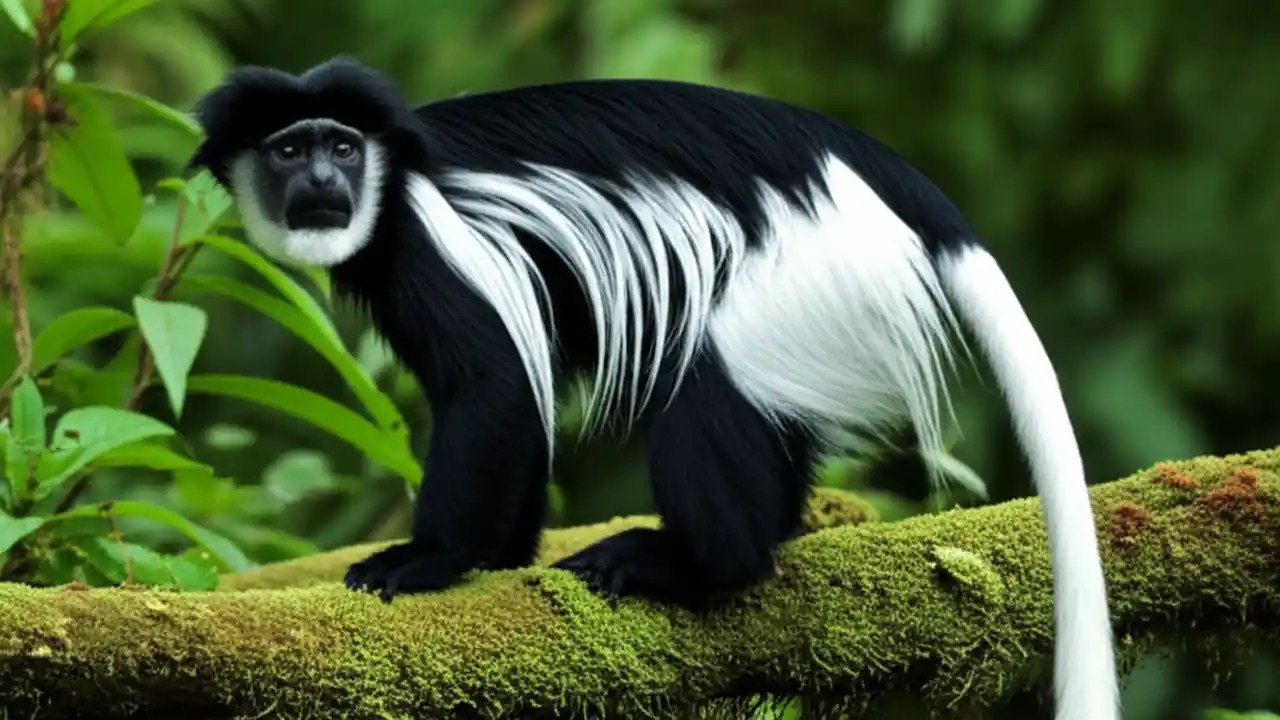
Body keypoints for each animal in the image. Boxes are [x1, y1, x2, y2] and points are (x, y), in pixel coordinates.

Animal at [188, 57, 1118, 720]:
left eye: (342, 147)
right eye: (289, 149)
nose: (323, 185)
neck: (390, 184)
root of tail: (876, 172)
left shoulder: (428, 237)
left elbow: (494, 386)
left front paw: (429, 562)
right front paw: (499, 561)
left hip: (798, 276)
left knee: (710, 391)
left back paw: (688, 560)